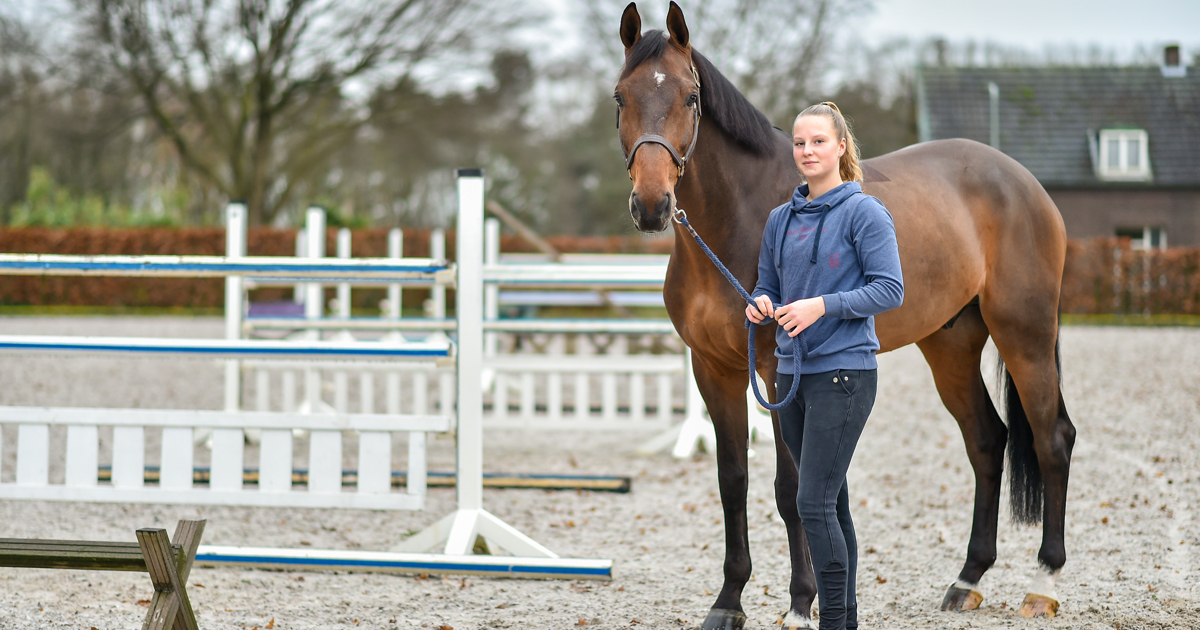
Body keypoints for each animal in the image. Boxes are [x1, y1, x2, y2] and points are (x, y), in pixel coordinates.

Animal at [613, 3, 1076, 628]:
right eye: (620, 96)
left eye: (689, 97)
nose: (652, 204)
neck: (738, 217)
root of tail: (1025, 182)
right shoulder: (712, 368)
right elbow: (733, 481)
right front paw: (728, 602)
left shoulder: (775, 372)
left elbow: (790, 487)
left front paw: (800, 603)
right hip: (950, 345)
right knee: (986, 440)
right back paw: (967, 579)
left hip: (1024, 334)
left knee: (1052, 439)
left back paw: (1043, 582)